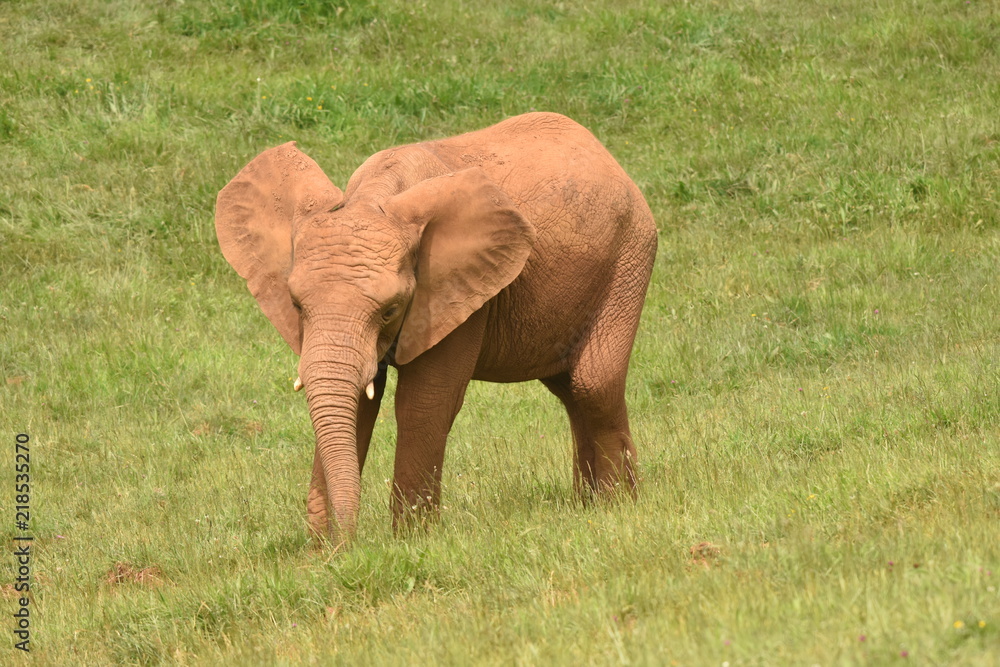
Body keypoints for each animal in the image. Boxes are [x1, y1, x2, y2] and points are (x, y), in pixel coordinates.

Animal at [215, 112, 657, 544]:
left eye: (390, 311)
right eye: (295, 304)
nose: (345, 545)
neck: (375, 197)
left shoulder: (460, 293)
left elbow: (424, 402)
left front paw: (413, 542)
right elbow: (358, 404)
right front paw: (322, 551)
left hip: (629, 257)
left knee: (593, 384)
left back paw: (615, 508)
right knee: (569, 390)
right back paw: (587, 506)